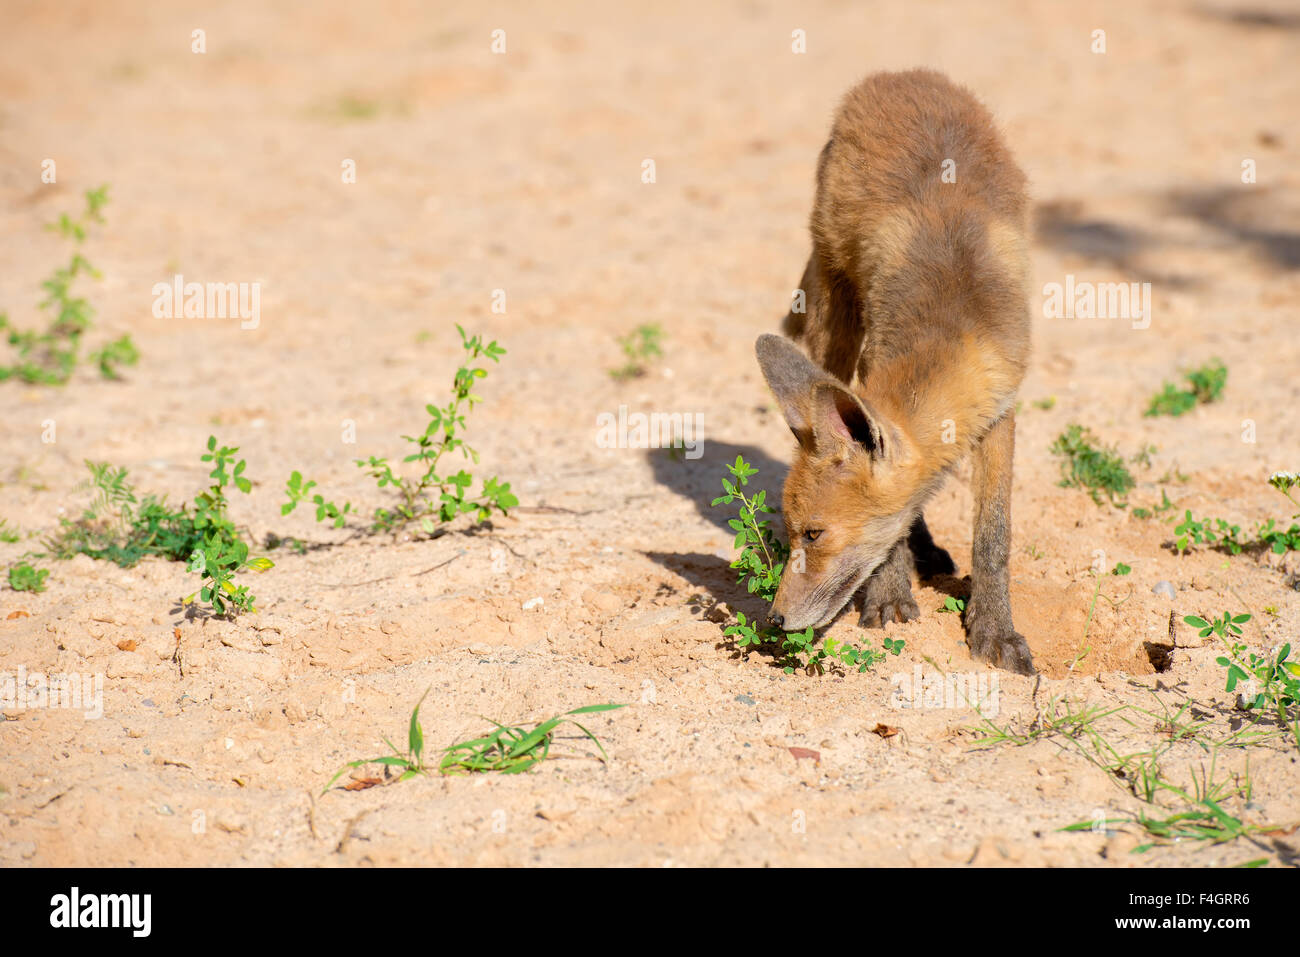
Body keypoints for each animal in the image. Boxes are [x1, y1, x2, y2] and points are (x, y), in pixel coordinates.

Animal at [756, 69, 1035, 674]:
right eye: (790, 532)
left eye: (813, 534)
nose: (774, 619)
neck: (956, 324)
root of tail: (900, 76)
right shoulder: (873, 364)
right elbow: (897, 531)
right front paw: (888, 596)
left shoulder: (1001, 408)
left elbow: (994, 537)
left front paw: (994, 629)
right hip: (835, 318)